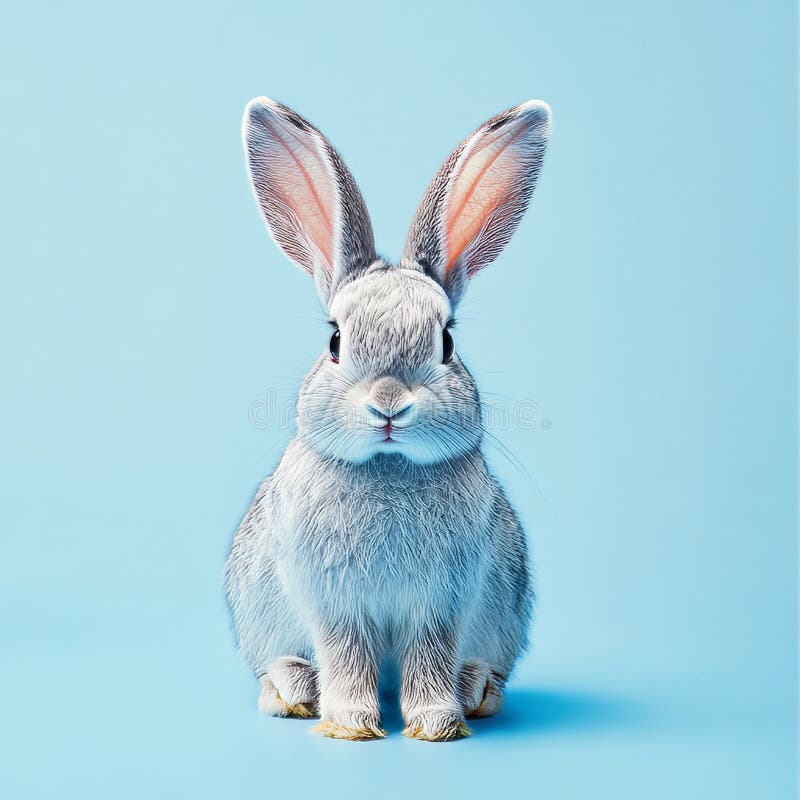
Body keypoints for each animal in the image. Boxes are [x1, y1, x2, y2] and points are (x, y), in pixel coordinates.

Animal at [225, 96, 550, 741]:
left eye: (446, 343)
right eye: (334, 341)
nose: (389, 403)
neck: (389, 467)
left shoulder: (441, 603)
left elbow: (431, 656)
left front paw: (436, 724)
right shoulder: (337, 603)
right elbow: (346, 655)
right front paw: (350, 723)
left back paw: (476, 689)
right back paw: (294, 689)